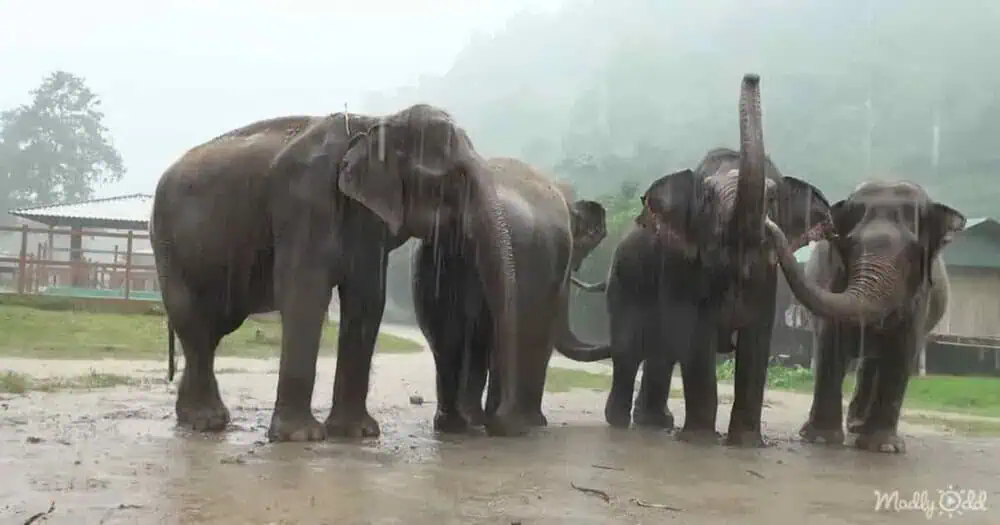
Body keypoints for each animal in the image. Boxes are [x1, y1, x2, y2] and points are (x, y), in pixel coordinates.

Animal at [150, 104, 525, 441]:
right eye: (455, 179)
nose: (495, 425)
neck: (377, 122)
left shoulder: (368, 224)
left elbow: (367, 299)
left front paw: (357, 433)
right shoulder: (303, 202)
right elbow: (306, 294)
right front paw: (300, 436)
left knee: (212, 327)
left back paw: (193, 417)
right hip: (167, 245)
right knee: (193, 319)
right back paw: (208, 421)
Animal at [410, 158, 609, 434]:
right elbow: (541, 335)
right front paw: (537, 422)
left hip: (438, 256)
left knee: (447, 335)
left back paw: (458, 424)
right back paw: (505, 423)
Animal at [570, 74, 833, 446]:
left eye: (771, 198)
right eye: (707, 195)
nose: (752, 76)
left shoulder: (768, 278)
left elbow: (756, 340)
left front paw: (746, 443)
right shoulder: (681, 265)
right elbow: (695, 333)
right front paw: (699, 438)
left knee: (659, 350)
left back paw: (655, 422)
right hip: (623, 279)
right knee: (630, 348)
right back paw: (622, 422)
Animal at [764, 180, 966, 453]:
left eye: (913, 253)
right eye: (850, 244)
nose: (768, 223)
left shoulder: (920, 296)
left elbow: (902, 350)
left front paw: (884, 447)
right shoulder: (832, 276)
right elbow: (831, 343)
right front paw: (820, 439)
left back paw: (860, 428)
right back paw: (854, 426)